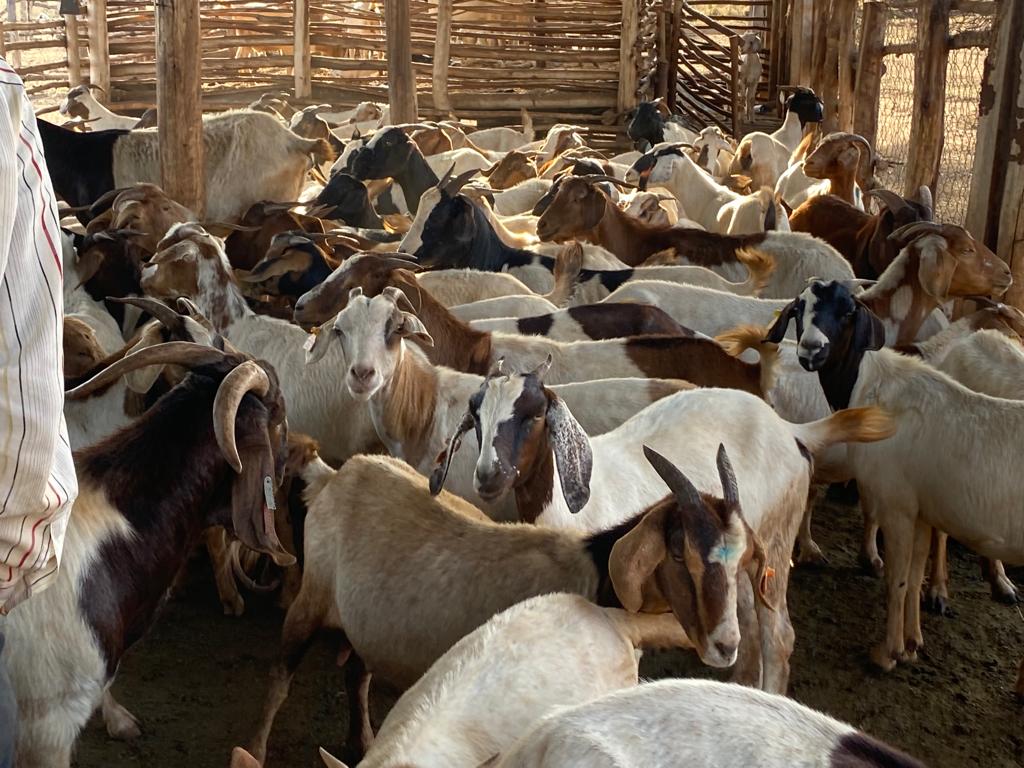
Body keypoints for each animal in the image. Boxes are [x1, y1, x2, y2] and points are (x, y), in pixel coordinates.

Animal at [249, 444, 762, 760]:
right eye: (678, 552)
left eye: (741, 559)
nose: (725, 646)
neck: (593, 576)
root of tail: (337, 474)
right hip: (310, 598)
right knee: (277, 679)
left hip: (365, 624)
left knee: (357, 674)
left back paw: (363, 739)